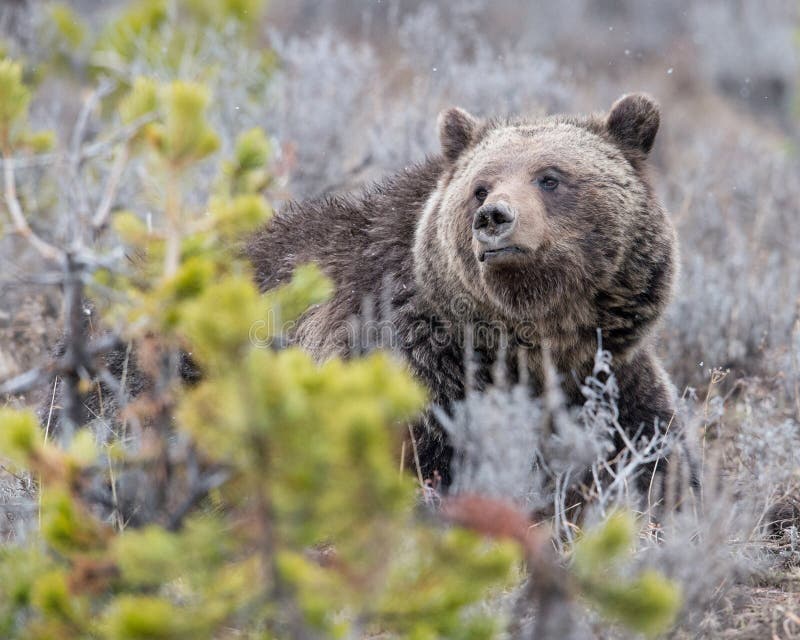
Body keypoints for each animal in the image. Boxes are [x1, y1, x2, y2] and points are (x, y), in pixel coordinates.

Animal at [247, 93, 683, 490]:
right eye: (481, 188)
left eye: (550, 177)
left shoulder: (610, 376)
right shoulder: (420, 364)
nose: (494, 217)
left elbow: (654, 457)